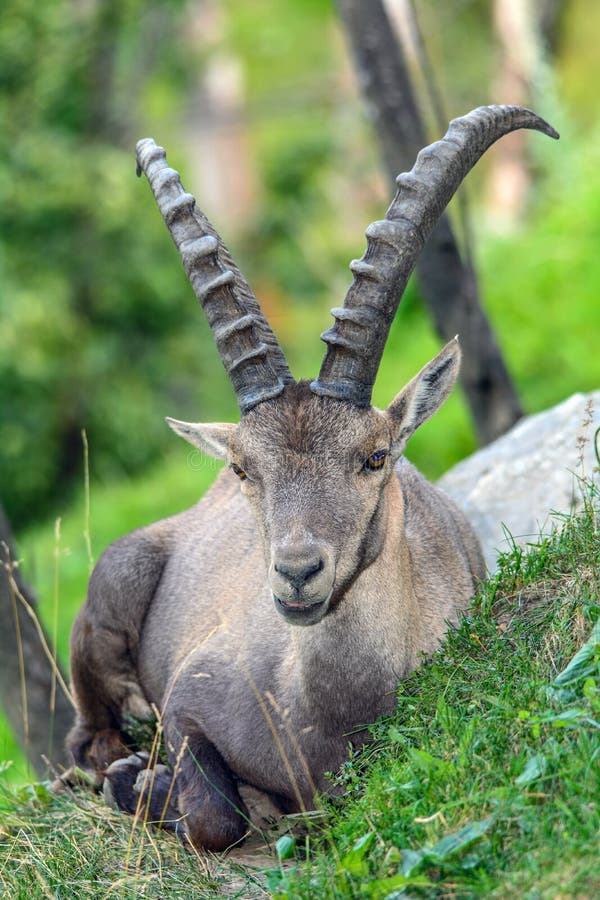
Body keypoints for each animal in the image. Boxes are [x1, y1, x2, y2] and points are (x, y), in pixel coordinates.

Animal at [67, 106, 558, 851]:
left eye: (376, 457)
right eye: (244, 468)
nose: (297, 575)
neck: (319, 718)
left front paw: (154, 788)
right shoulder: (189, 693)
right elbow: (217, 815)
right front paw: (142, 785)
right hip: (110, 591)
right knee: (85, 739)